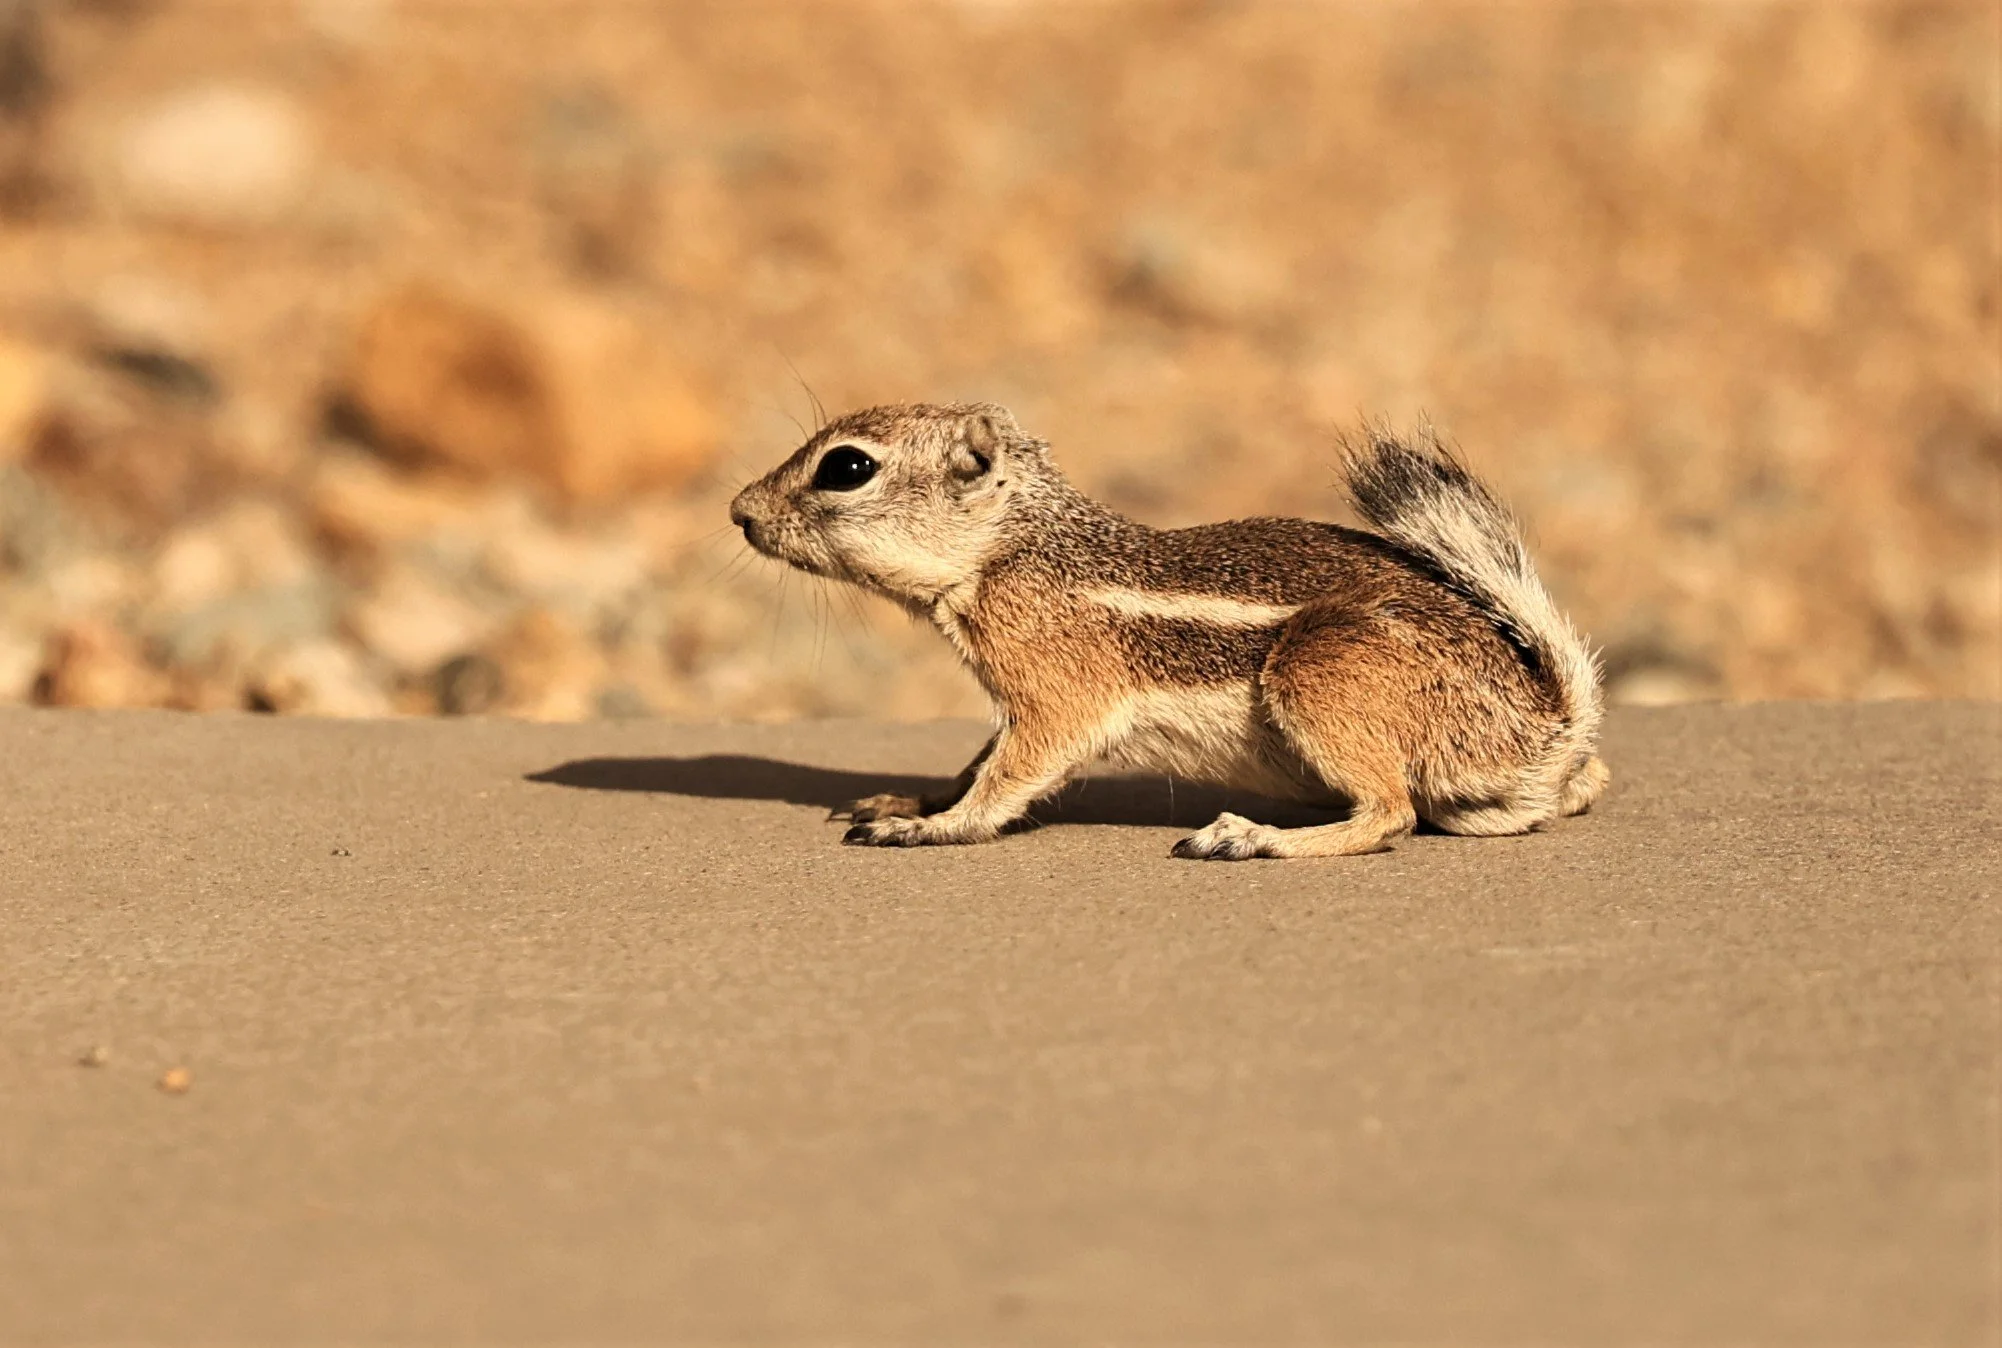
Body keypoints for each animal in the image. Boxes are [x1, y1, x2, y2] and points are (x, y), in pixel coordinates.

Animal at [729, 403, 1608, 860]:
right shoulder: (1015, 702)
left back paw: (1254, 838)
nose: (739, 511)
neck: (1013, 549)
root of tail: (1545, 720)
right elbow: (980, 759)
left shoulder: (1058, 696)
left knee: (1389, 815)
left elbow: (1010, 775)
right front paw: (914, 795)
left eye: (846, 467)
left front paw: (931, 825)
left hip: (1319, 669)